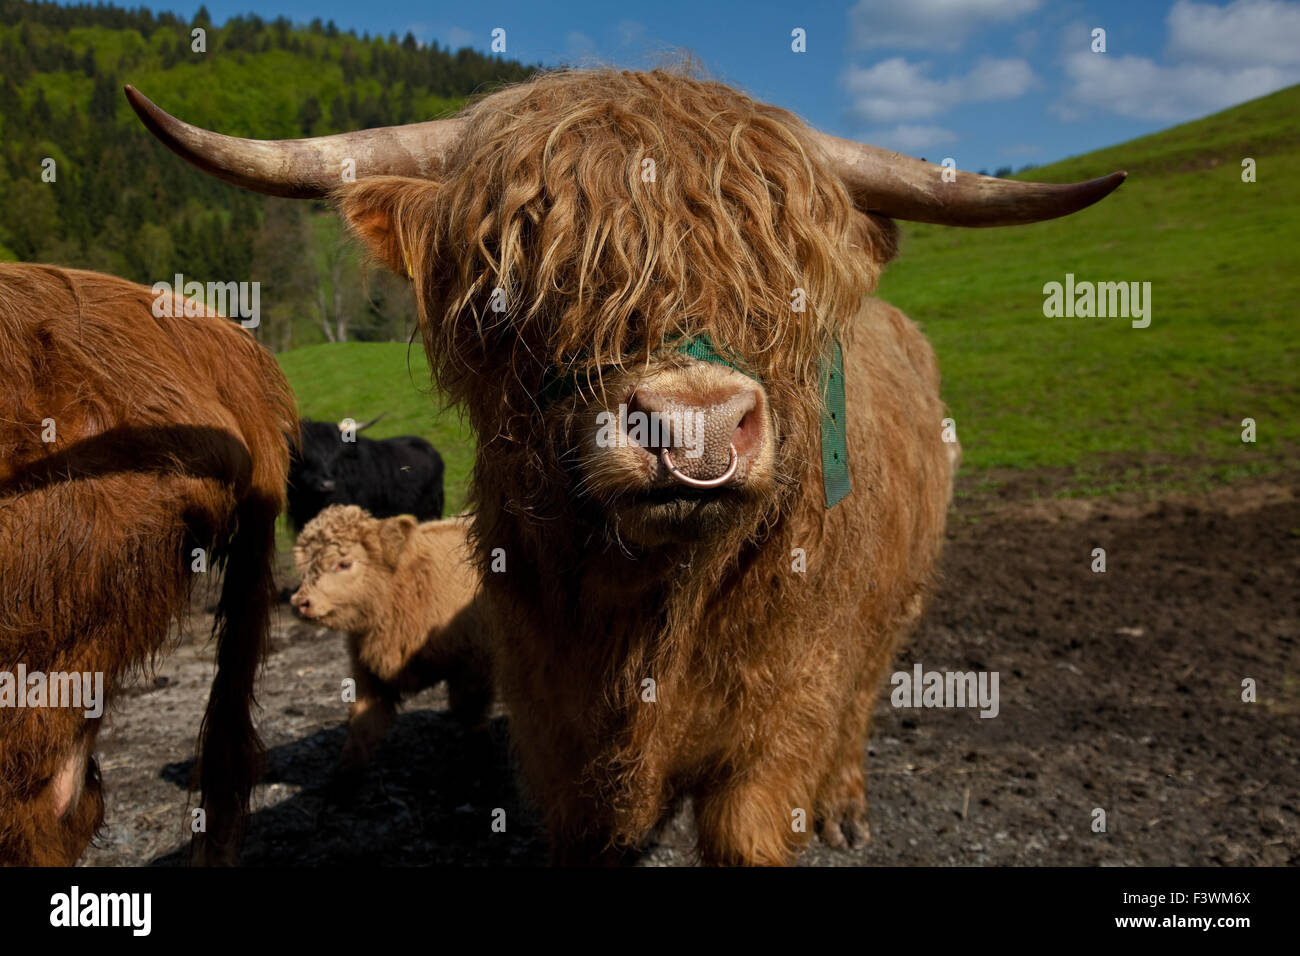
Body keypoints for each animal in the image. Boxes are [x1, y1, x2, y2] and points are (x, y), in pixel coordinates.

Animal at [290, 505, 493, 775]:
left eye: (344, 563)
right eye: (306, 565)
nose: (300, 602)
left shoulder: (474, 663)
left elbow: (470, 712)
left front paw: (480, 758)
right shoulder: (367, 673)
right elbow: (362, 725)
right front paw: (344, 775)